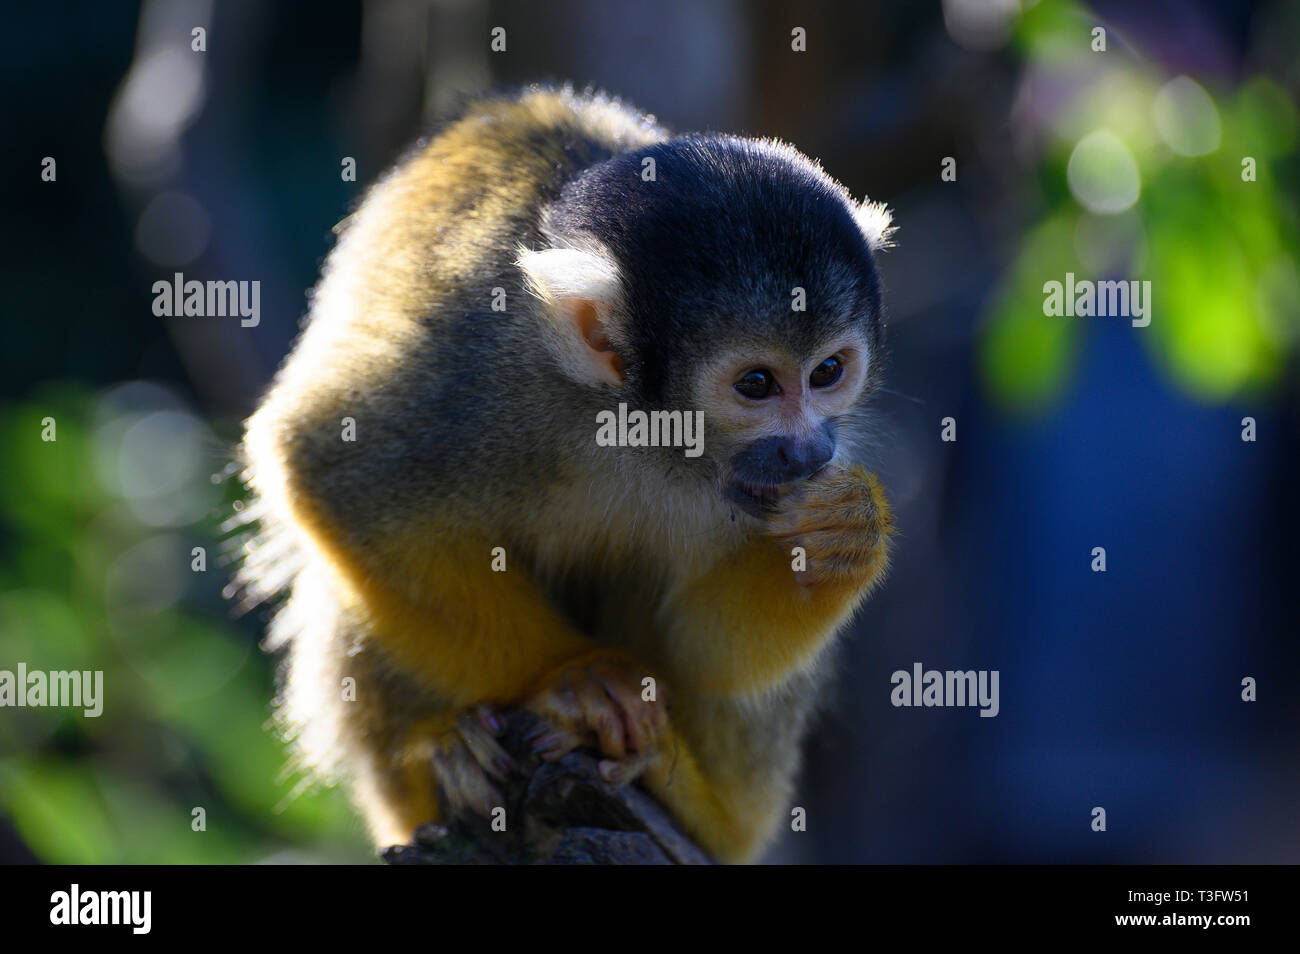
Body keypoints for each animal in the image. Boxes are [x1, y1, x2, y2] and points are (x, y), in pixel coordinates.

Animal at [233, 84, 896, 864]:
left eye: (827, 372)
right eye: (757, 384)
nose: (808, 452)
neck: (637, 428)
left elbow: (711, 656)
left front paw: (842, 542)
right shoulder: (478, 372)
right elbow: (331, 469)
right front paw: (572, 681)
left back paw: (709, 812)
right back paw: (435, 762)